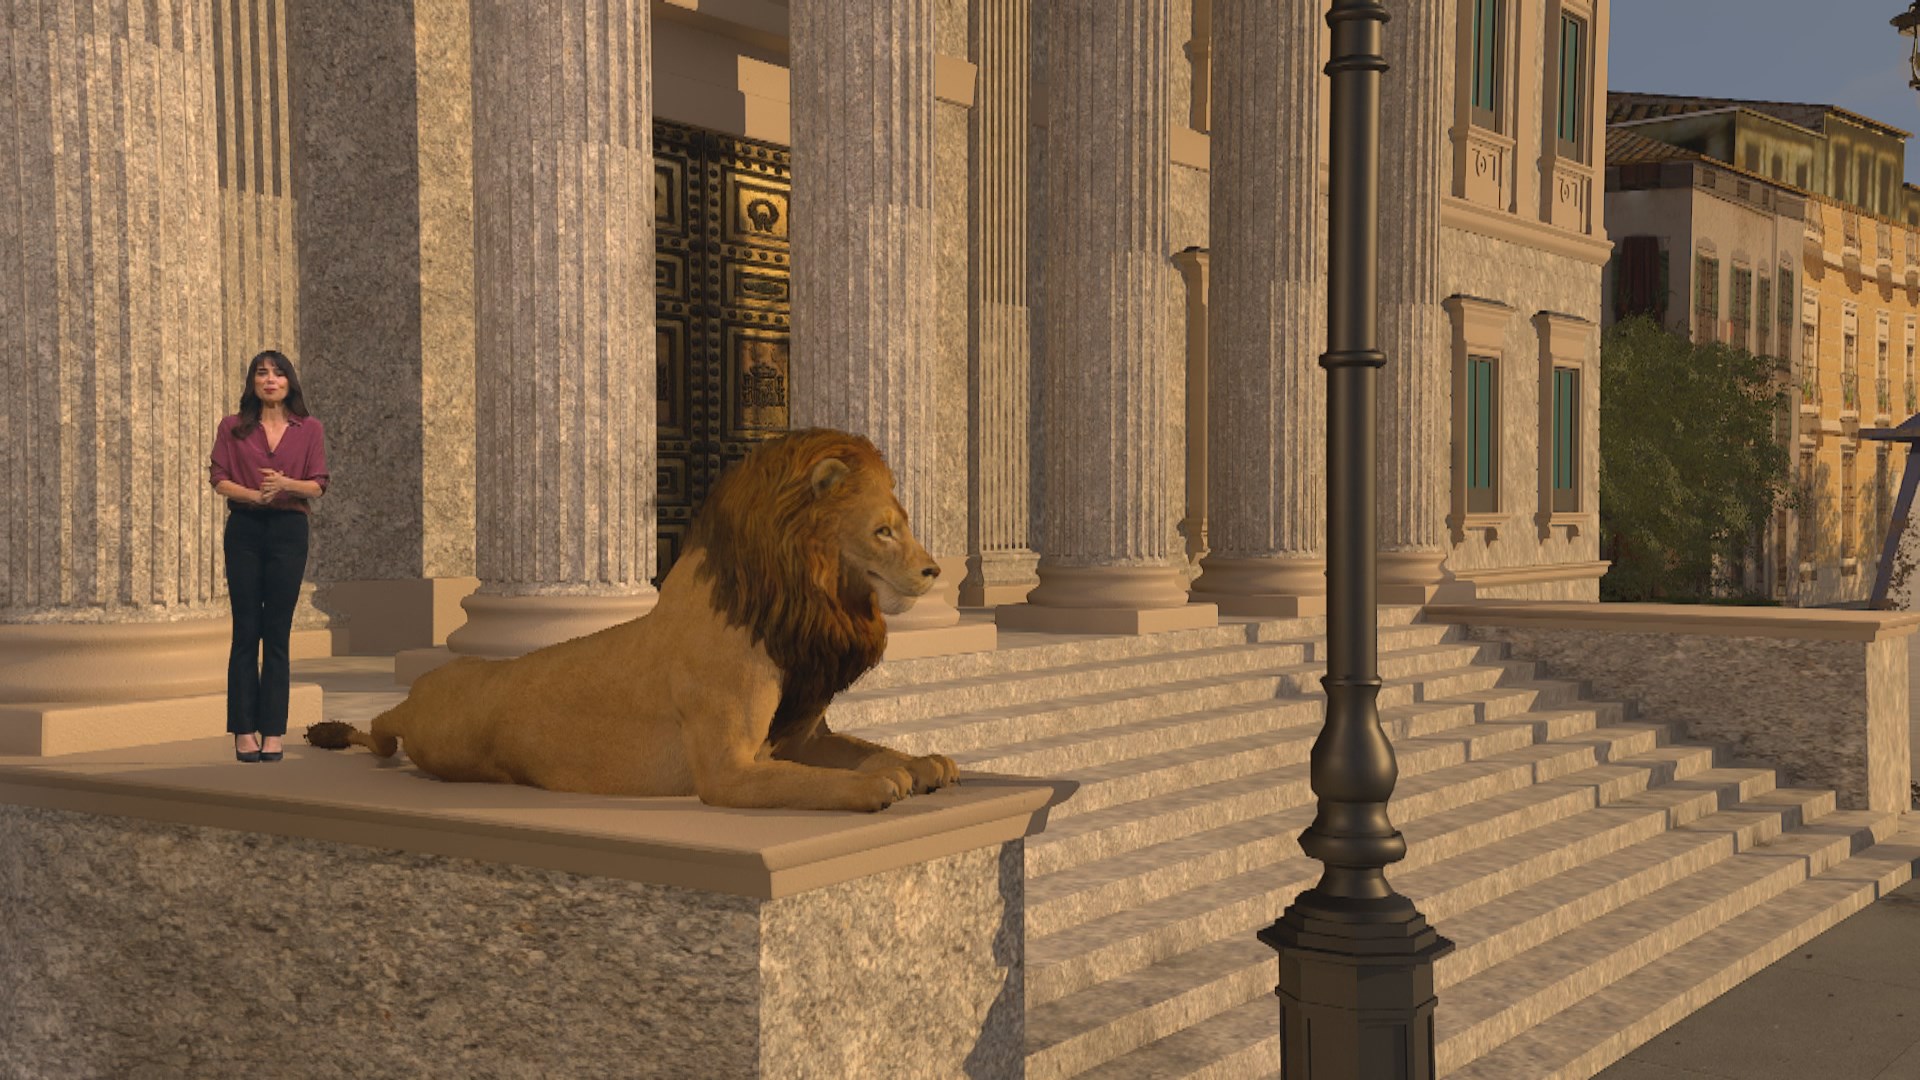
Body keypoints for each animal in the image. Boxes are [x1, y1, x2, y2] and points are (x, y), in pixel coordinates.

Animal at [305, 428, 959, 812]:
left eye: (904, 524)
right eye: (884, 530)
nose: (934, 571)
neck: (797, 607)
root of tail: (418, 698)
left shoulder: (800, 735)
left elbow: (865, 745)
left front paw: (924, 763)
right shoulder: (726, 771)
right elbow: (812, 780)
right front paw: (876, 783)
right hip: (440, 737)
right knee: (383, 726)